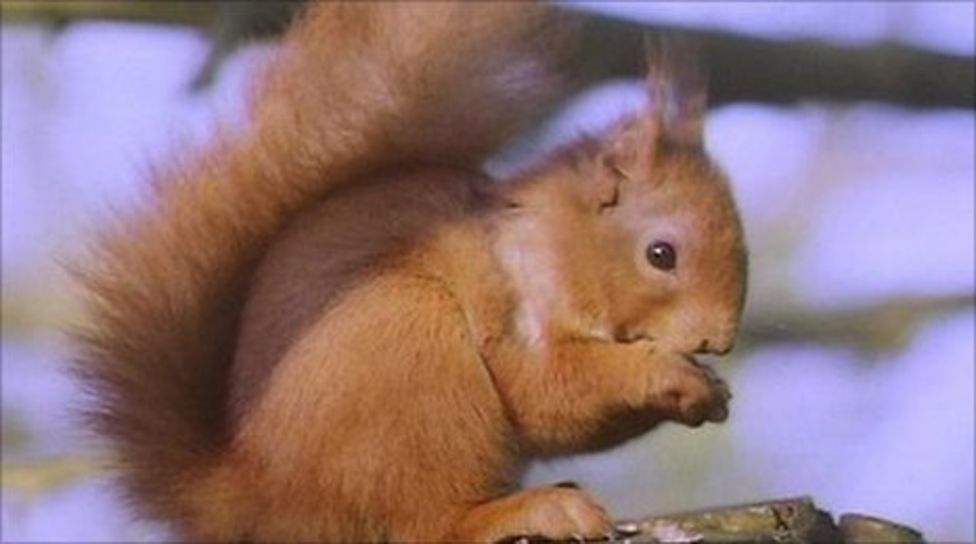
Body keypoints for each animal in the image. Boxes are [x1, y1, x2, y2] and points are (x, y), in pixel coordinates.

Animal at [73, 3, 747, 542]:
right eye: (661, 254)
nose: (717, 340)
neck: (555, 243)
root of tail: (259, 494)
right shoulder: (507, 303)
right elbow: (544, 392)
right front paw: (668, 373)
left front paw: (709, 392)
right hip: (408, 359)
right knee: (427, 523)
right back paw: (520, 512)